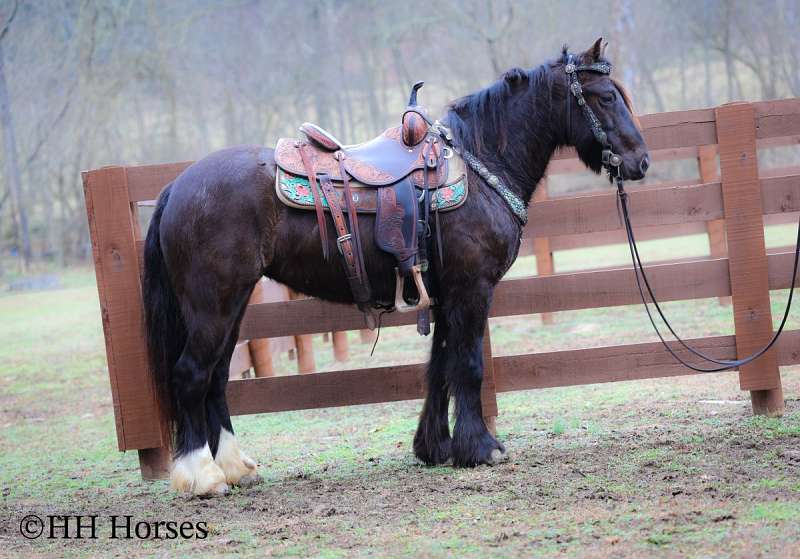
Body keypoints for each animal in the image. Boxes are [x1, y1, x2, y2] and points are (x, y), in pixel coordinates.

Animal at [143, 38, 649, 496]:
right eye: (606, 97)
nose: (640, 161)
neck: (481, 164)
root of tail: (176, 187)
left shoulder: (443, 296)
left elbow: (439, 366)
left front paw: (435, 447)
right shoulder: (472, 290)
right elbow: (467, 365)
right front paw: (481, 448)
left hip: (233, 305)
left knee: (215, 379)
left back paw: (234, 467)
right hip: (214, 304)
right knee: (191, 374)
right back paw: (202, 476)